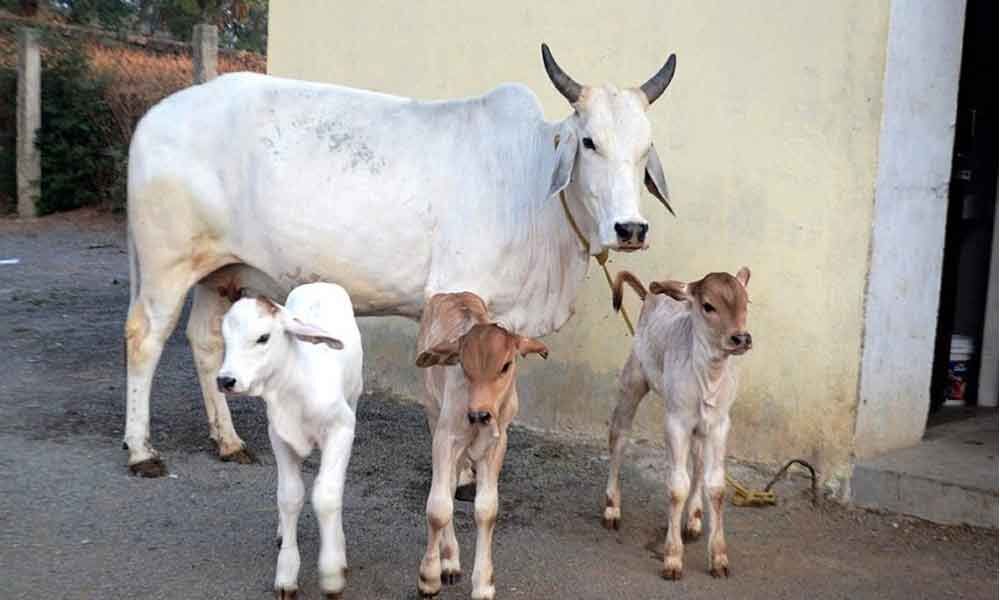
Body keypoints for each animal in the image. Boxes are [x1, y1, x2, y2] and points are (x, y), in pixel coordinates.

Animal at [123, 44, 677, 475]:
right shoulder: (456, 299)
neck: (532, 186)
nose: (631, 229)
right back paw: (141, 450)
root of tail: (154, 115)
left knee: (205, 342)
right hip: (166, 263)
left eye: (646, 148)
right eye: (589, 142)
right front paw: (462, 477)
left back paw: (228, 441)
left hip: (219, 272)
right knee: (144, 337)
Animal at [602, 268, 753, 580]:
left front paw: (719, 557)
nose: (741, 338)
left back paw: (694, 519)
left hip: (699, 429)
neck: (709, 378)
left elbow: (715, 486)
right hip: (633, 379)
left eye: (747, 302)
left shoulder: (719, 425)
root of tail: (650, 296)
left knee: (697, 462)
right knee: (619, 436)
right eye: (708, 306)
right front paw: (672, 558)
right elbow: (676, 487)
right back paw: (612, 508)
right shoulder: (676, 422)